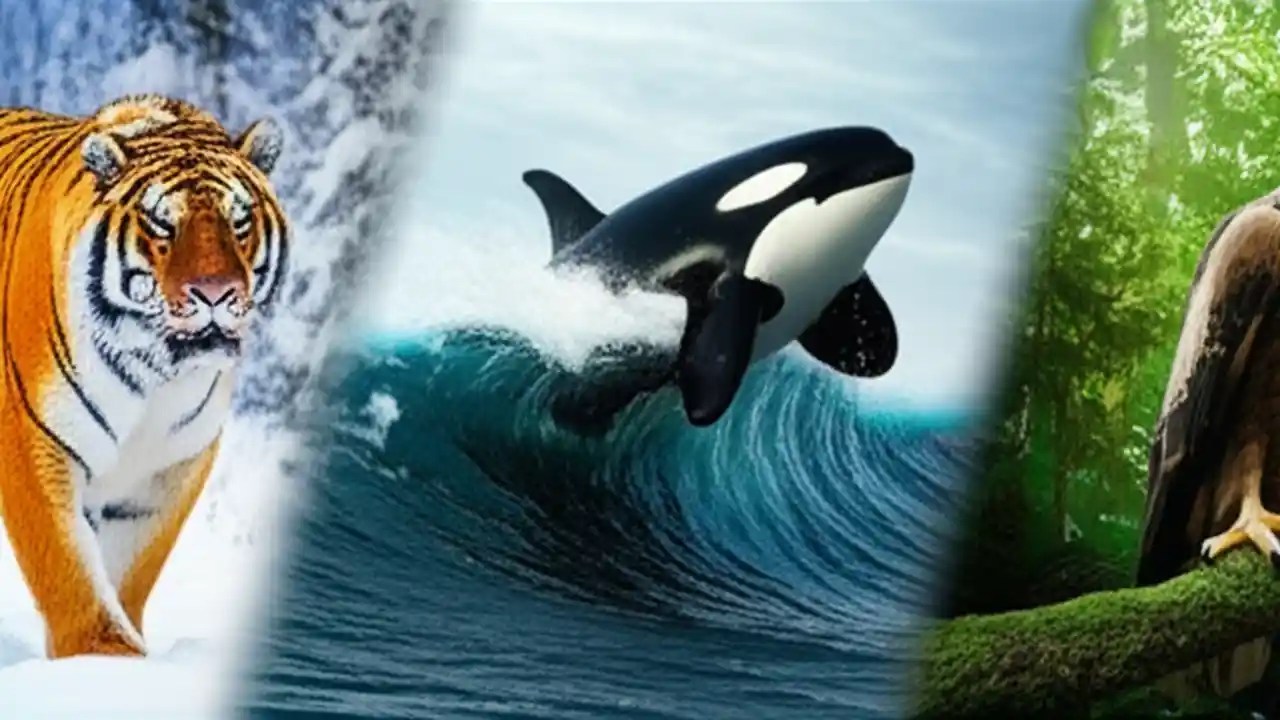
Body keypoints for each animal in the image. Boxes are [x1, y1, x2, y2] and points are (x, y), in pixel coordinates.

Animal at [0, 94, 289, 658]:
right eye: (161, 223)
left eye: (239, 220)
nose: (216, 293)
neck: (156, 373)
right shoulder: (32, 440)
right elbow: (67, 570)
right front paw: (104, 657)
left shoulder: (173, 465)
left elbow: (132, 569)